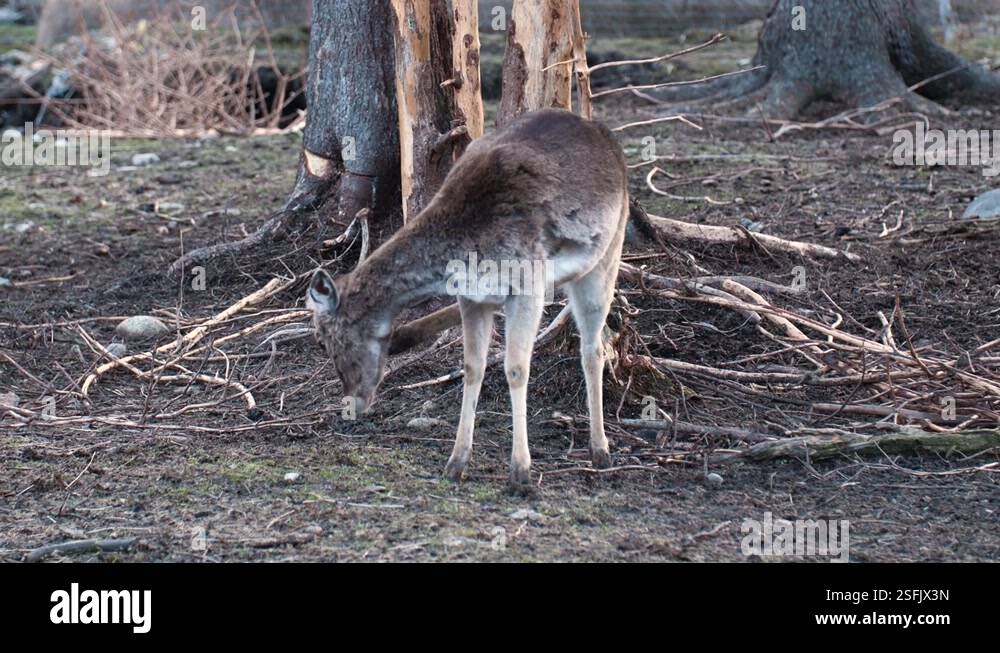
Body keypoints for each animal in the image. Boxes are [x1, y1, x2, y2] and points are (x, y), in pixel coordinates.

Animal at [307, 108, 628, 488]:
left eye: (323, 342)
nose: (352, 405)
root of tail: (603, 134)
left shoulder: (528, 283)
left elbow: (516, 368)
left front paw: (521, 472)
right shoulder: (473, 298)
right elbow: (472, 368)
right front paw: (456, 463)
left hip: (607, 253)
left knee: (594, 348)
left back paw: (601, 451)